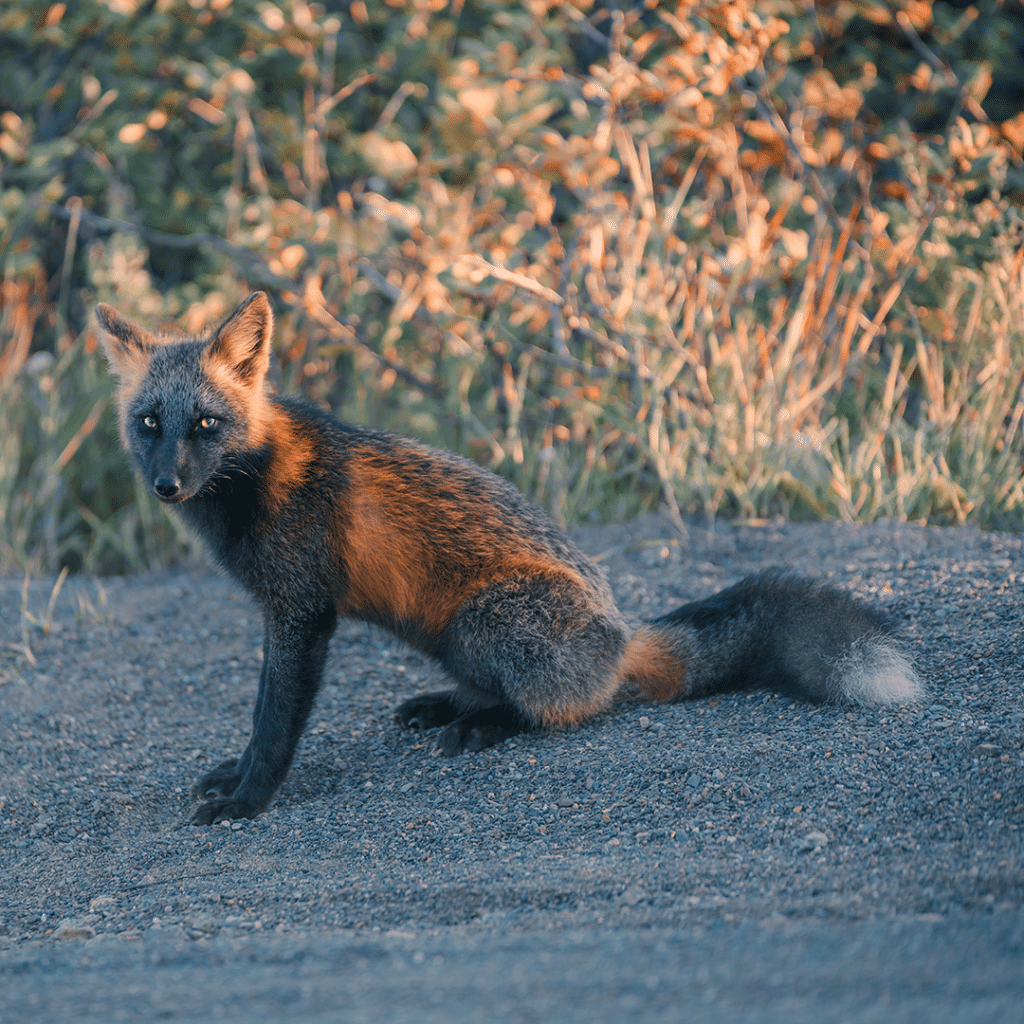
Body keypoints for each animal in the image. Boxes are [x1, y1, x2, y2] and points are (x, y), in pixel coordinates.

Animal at [96, 291, 922, 824]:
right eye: (149, 423)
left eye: (206, 424)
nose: (168, 484)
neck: (258, 479)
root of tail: (623, 634)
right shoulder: (289, 613)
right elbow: (260, 718)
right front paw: (236, 780)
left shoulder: (302, 614)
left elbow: (273, 721)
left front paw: (248, 799)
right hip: (446, 633)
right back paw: (447, 706)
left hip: (484, 621)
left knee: (564, 708)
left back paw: (486, 724)